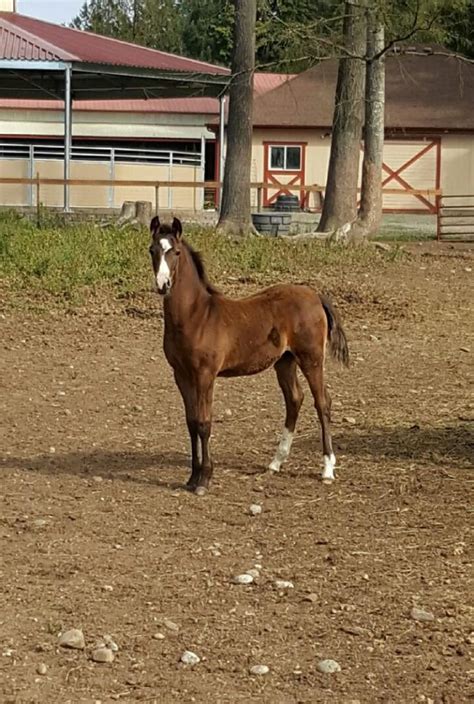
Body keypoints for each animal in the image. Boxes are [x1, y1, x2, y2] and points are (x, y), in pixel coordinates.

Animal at [149, 216, 349, 496]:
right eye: (152, 250)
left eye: (176, 252)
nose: (162, 285)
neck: (196, 316)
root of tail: (315, 295)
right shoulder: (181, 375)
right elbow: (191, 422)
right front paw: (191, 476)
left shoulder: (205, 375)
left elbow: (204, 423)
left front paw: (204, 480)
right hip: (284, 361)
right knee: (294, 400)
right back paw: (275, 463)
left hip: (311, 358)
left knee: (322, 402)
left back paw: (327, 469)